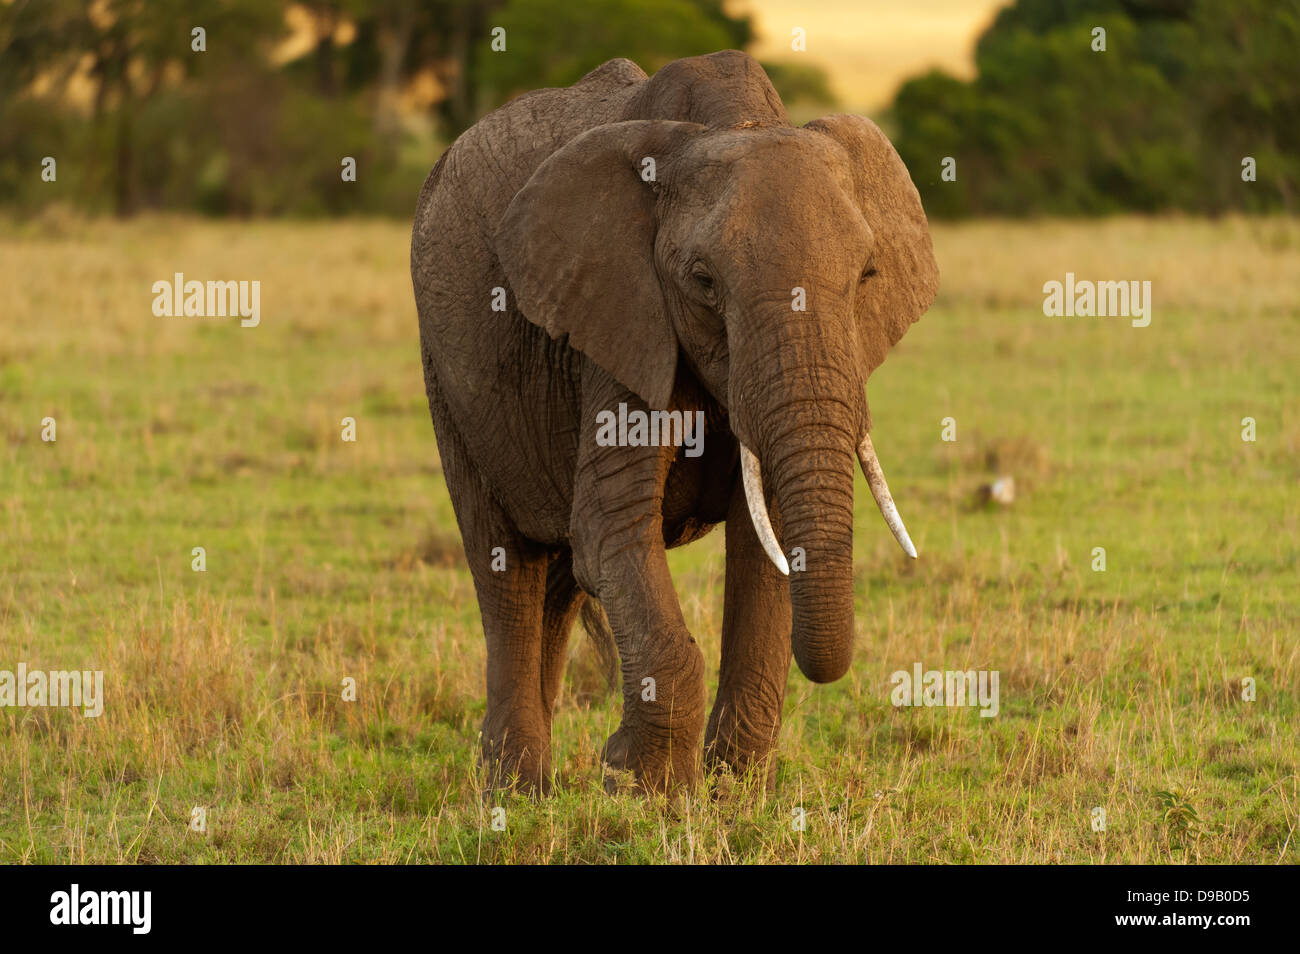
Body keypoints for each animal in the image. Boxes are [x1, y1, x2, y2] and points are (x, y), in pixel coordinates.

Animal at [410, 50, 939, 794]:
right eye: (703, 282)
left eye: (867, 275)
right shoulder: (617, 317)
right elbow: (611, 530)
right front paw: (642, 785)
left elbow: (767, 538)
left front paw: (732, 788)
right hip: (446, 373)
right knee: (507, 564)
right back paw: (515, 788)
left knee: (555, 585)